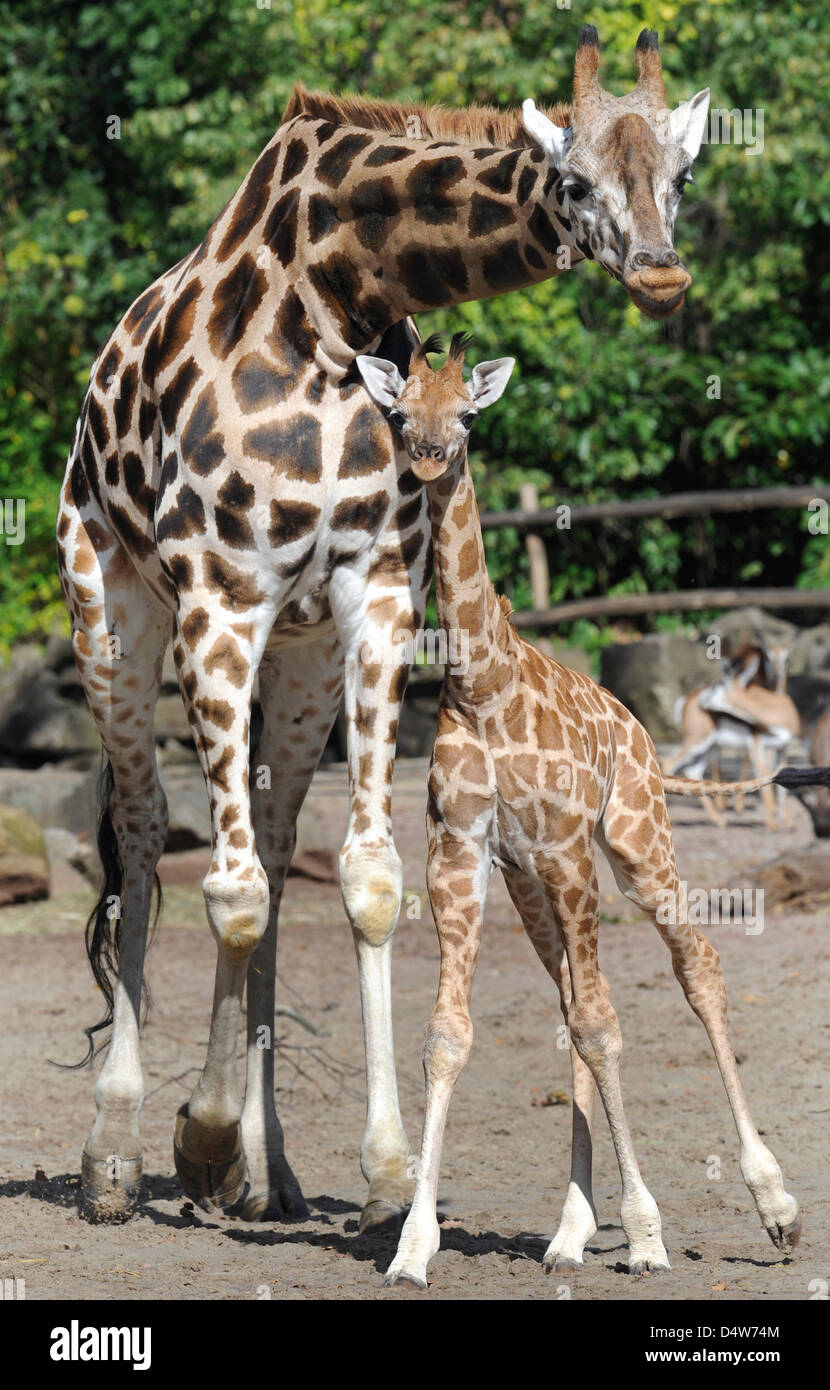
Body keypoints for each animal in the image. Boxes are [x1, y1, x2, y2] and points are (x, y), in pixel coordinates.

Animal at [55, 27, 712, 1228]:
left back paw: (265, 1171)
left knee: (270, 840)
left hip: (301, 651)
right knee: (146, 826)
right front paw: (196, 1139)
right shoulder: (221, 587)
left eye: (680, 174)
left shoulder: (371, 594)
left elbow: (357, 879)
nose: (658, 273)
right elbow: (226, 891)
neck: (334, 290)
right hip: (111, 608)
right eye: (574, 180)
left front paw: (375, 1171)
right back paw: (114, 1156)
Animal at [356, 334, 804, 1287]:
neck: (480, 682)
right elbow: (451, 1035)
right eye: (400, 414)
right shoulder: (459, 853)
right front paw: (412, 1248)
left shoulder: (567, 849)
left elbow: (604, 1025)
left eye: (470, 414)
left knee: (696, 964)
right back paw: (566, 1233)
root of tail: (638, 726)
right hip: (531, 884)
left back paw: (775, 1206)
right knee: (569, 1007)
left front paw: (647, 1234)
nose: (430, 459)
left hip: (635, 842)